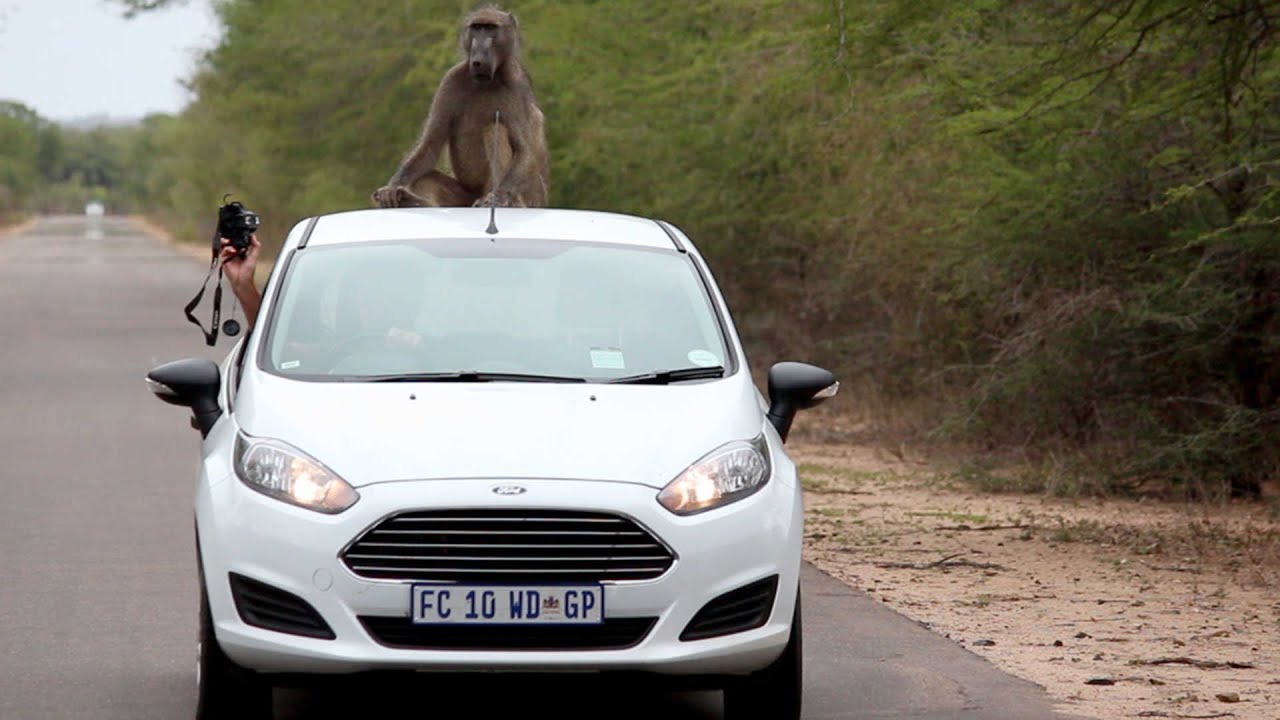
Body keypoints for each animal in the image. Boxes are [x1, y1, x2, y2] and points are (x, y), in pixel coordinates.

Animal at [373, 5, 549, 209]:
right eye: (477, 28)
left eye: (490, 28)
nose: (478, 59)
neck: (487, 82)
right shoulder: (451, 79)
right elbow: (429, 144)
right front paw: (392, 187)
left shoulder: (516, 86)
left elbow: (524, 150)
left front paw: (498, 197)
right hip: (464, 198)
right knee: (426, 178)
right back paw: (412, 200)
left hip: (529, 196)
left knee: (494, 129)